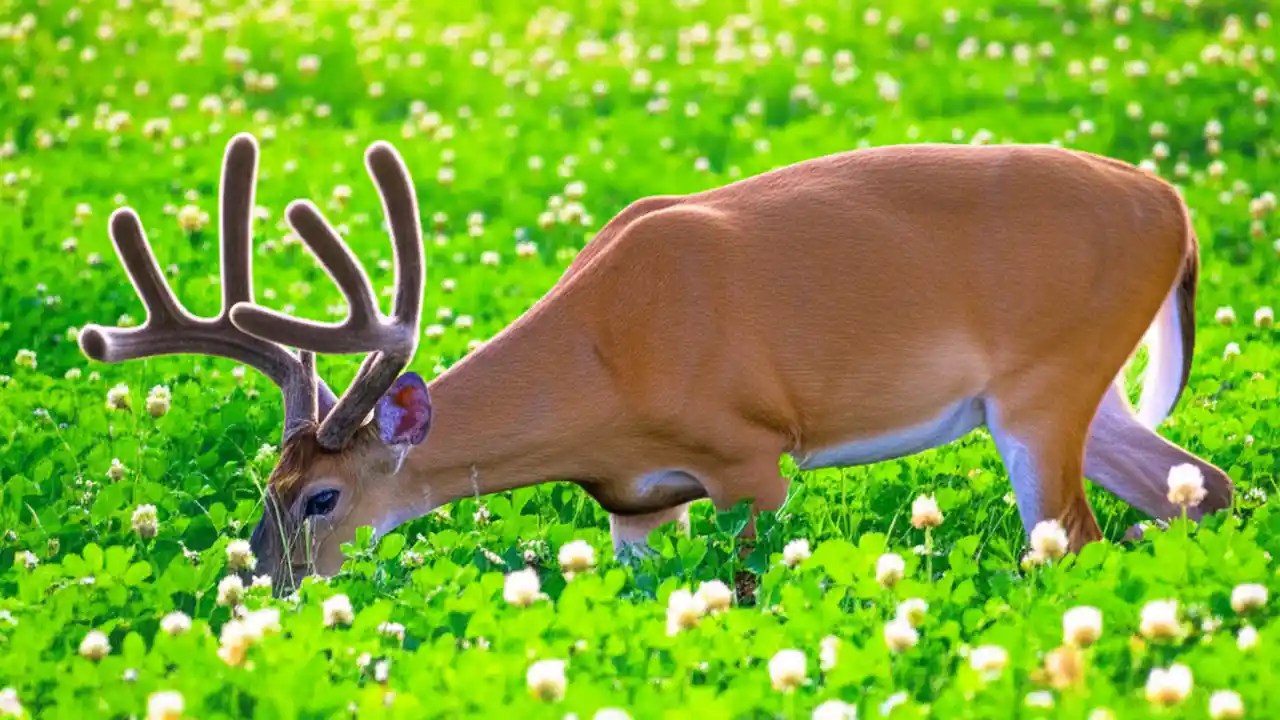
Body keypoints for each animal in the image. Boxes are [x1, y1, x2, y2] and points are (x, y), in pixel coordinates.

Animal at [78, 132, 1233, 589]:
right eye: (263, 487)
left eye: (322, 498)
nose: (259, 585)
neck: (609, 364)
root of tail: (1175, 209)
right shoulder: (635, 502)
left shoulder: (750, 453)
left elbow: (746, 586)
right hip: (1086, 387)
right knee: (1199, 486)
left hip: (1046, 383)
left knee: (1079, 538)